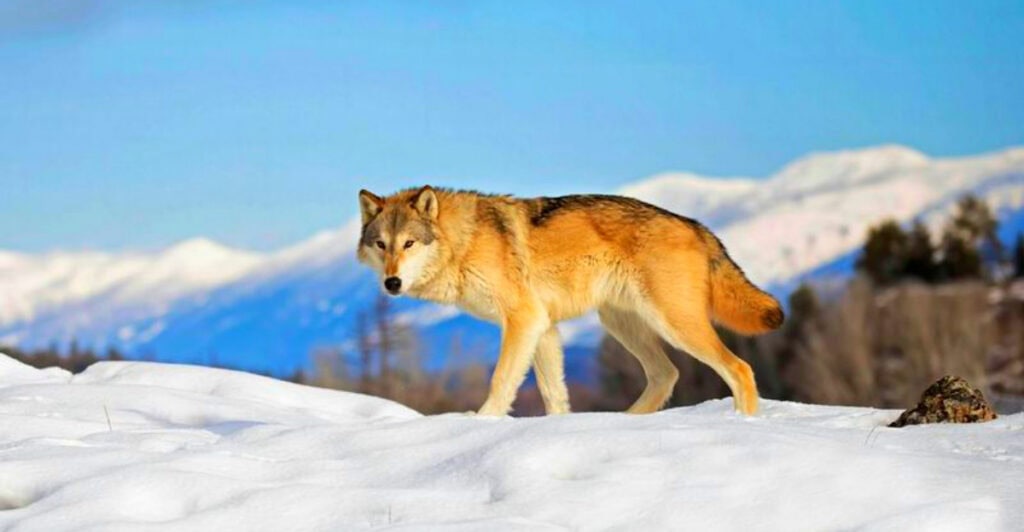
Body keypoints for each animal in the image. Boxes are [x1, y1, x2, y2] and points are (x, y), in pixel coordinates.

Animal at [356, 186, 783, 416]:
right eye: (381, 245)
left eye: (409, 244)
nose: (392, 282)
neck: (463, 241)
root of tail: (696, 225)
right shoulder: (544, 328)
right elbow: (554, 394)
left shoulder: (525, 320)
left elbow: (501, 380)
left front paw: (481, 421)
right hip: (623, 325)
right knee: (667, 375)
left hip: (674, 324)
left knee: (740, 368)